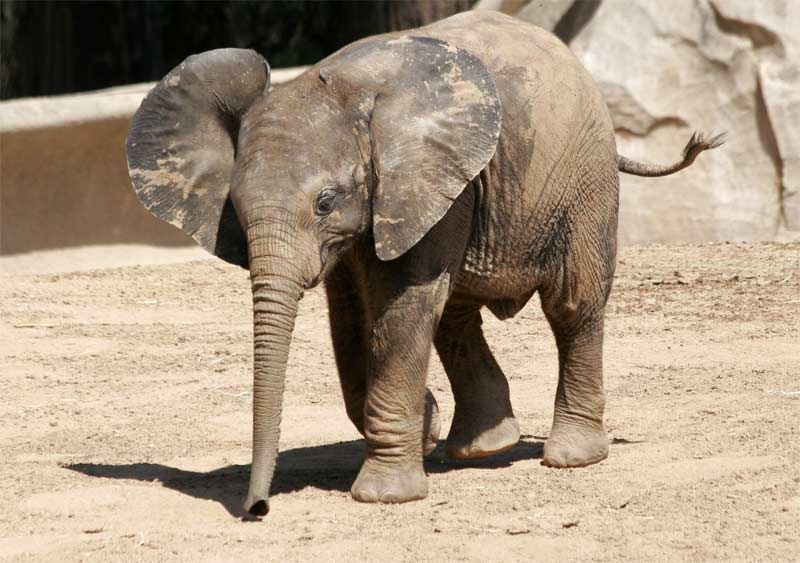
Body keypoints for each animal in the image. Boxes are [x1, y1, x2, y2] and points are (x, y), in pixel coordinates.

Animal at [126, 10, 721, 517]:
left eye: (325, 202)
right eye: (236, 210)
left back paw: (570, 456)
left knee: (571, 304)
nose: (257, 509)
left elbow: (401, 304)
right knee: (456, 312)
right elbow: (348, 316)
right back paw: (481, 448)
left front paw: (386, 494)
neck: (340, 88)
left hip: (585, 178)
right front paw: (426, 427)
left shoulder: (426, 180)